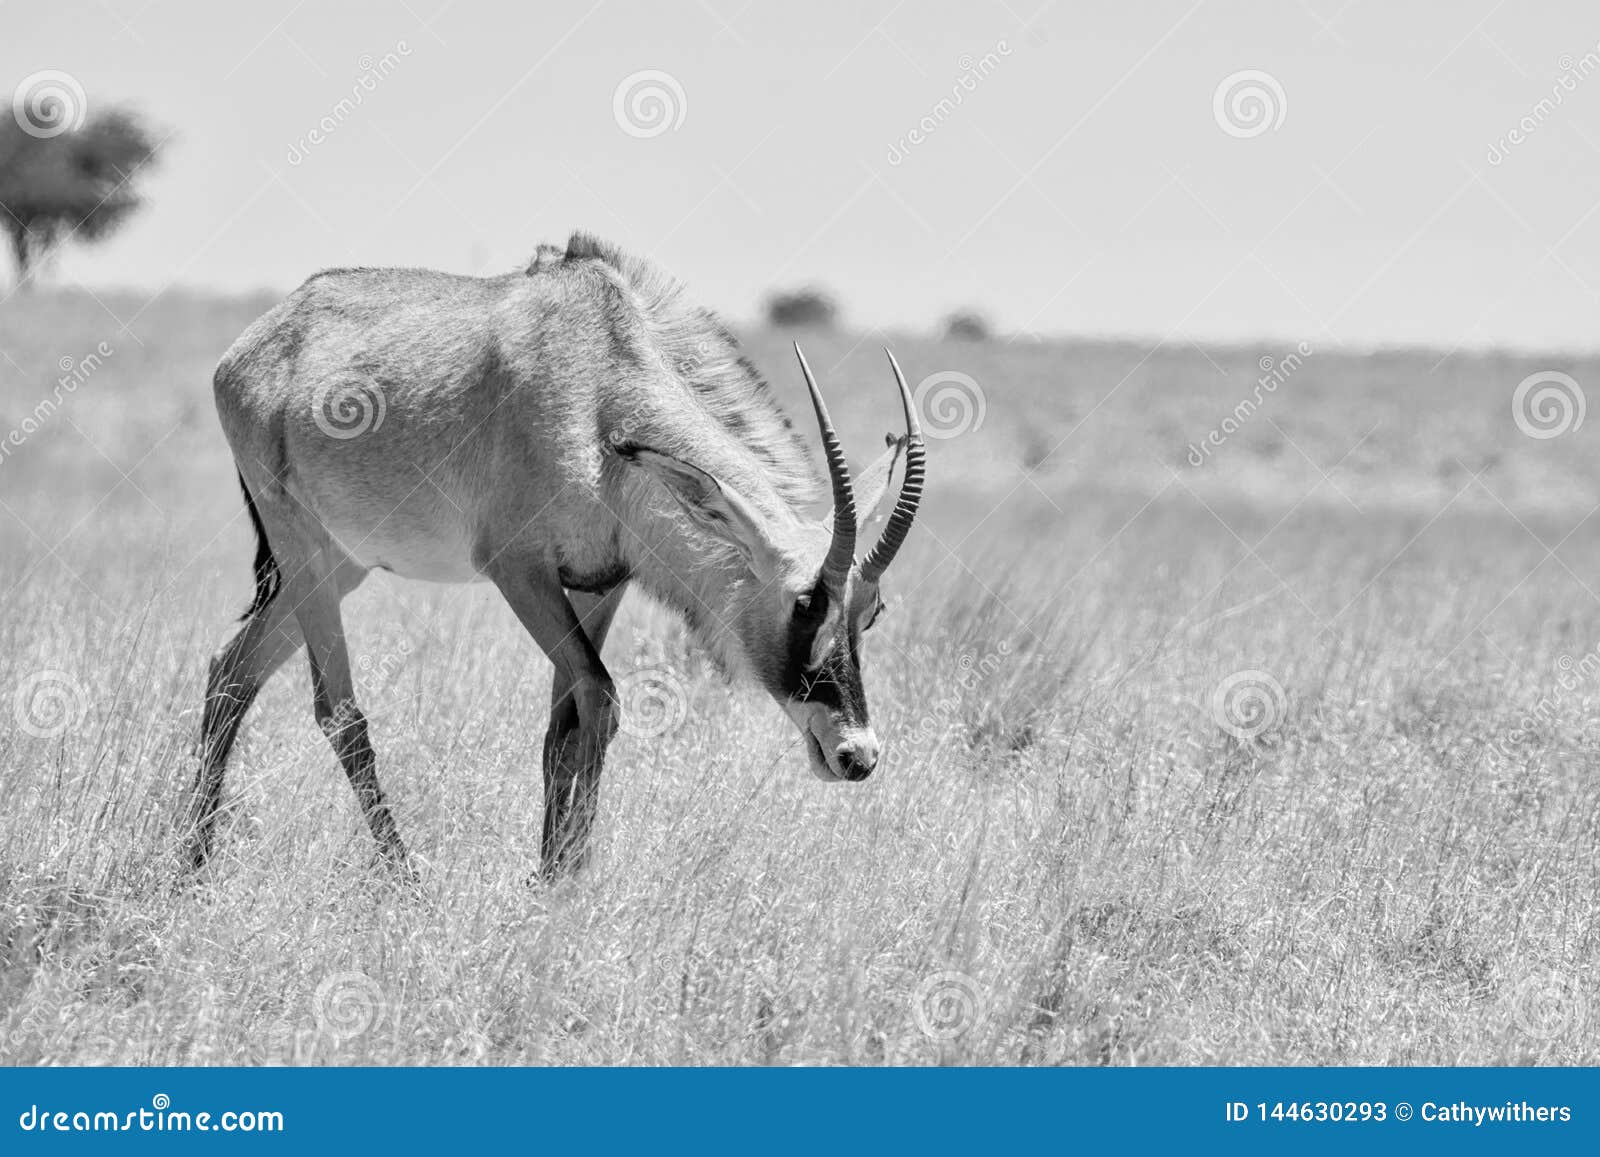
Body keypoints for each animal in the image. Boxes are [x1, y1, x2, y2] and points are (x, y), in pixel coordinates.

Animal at [189, 232, 925, 878]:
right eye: (805, 602)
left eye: (873, 613)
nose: (858, 755)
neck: (601, 393)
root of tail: (253, 346)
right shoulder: (520, 572)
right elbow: (600, 698)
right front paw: (568, 882)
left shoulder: (600, 585)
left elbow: (563, 724)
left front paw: (549, 878)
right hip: (303, 548)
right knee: (337, 709)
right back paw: (403, 882)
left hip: (340, 564)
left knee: (233, 670)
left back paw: (190, 866)